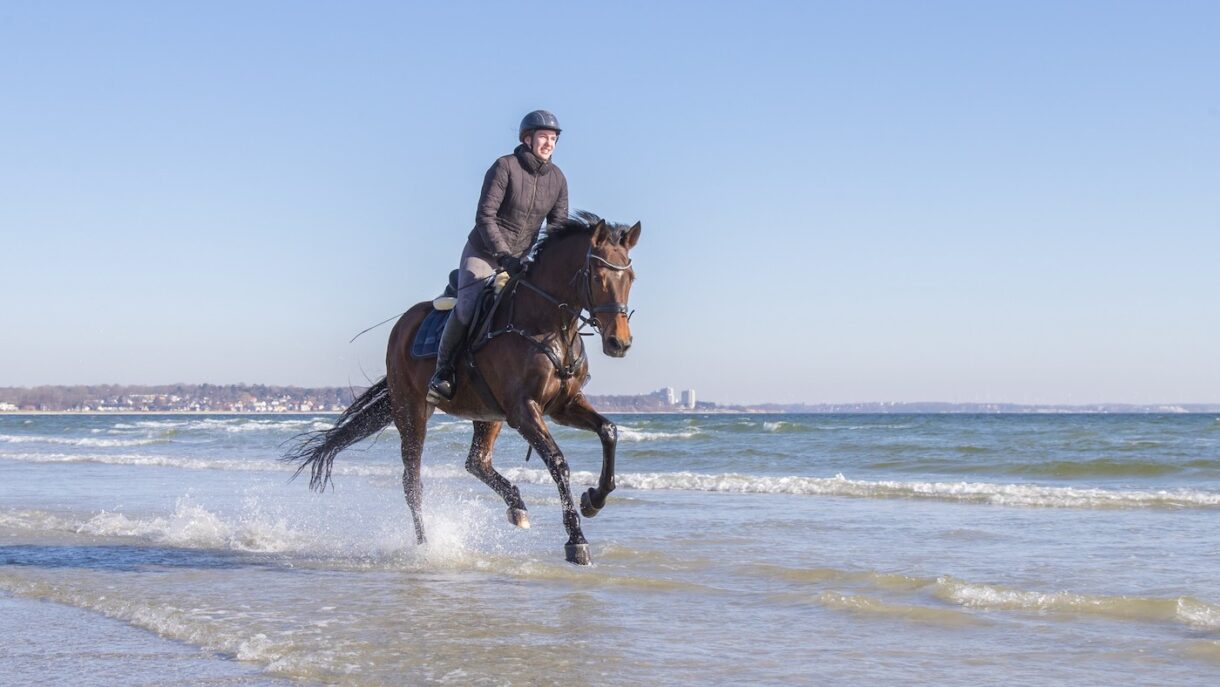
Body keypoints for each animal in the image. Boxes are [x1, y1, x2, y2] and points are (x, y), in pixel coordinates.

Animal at [284, 212, 640, 565]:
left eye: (631, 278)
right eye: (598, 277)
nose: (619, 343)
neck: (548, 324)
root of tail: (403, 324)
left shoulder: (564, 404)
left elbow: (608, 431)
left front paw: (594, 499)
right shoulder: (524, 409)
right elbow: (557, 461)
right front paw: (576, 540)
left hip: (488, 413)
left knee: (476, 461)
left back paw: (516, 507)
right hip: (411, 411)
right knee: (413, 482)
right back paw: (425, 545)